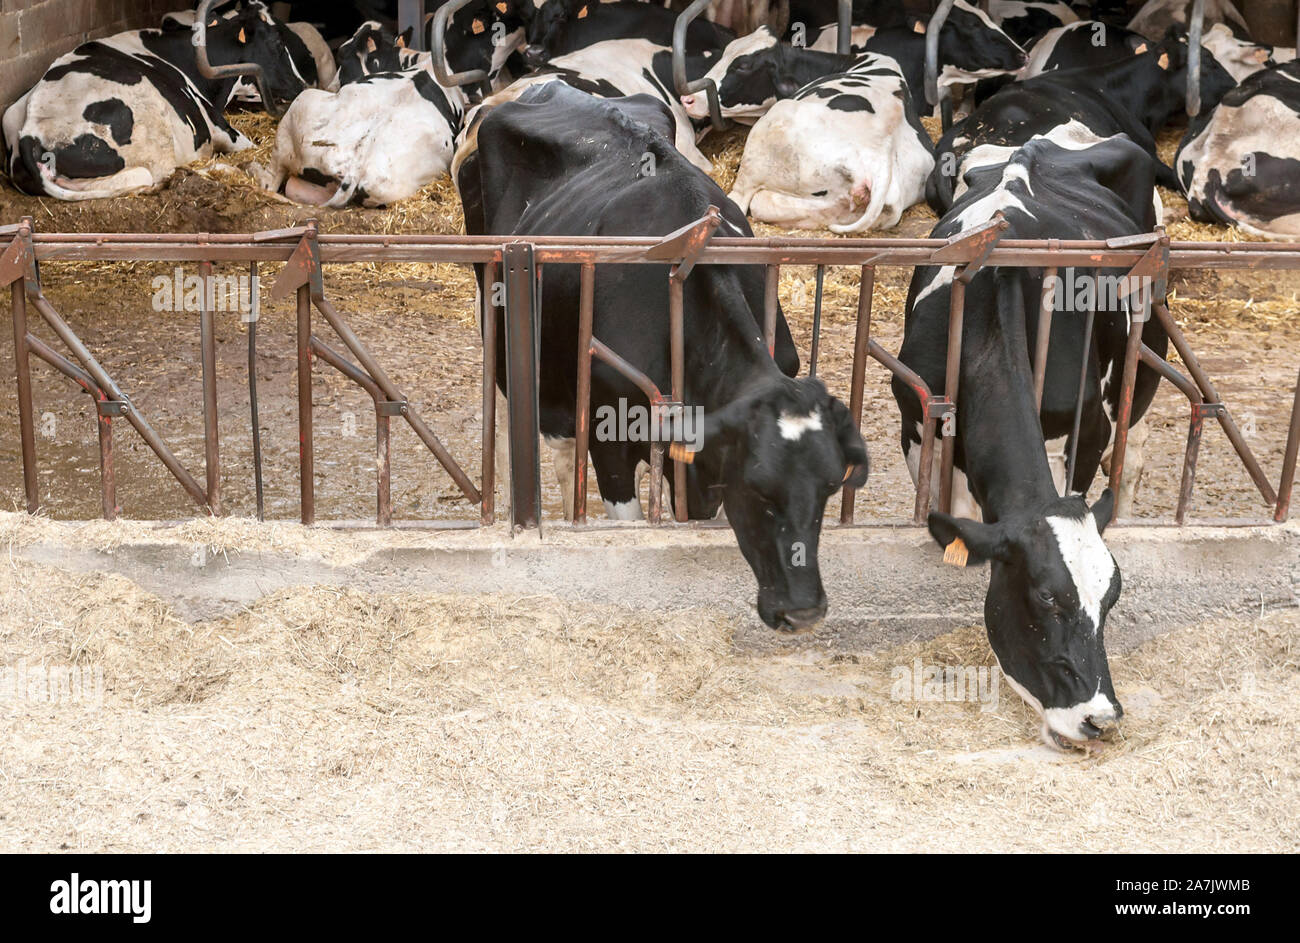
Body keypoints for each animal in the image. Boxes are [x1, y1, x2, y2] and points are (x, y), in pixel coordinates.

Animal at [3, 2, 308, 200]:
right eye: (278, 43)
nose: (303, 85)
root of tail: (31, 132)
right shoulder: (221, 127)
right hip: (153, 128)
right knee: (166, 172)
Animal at [456, 82, 869, 632]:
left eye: (829, 486)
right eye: (758, 489)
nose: (803, 612)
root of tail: (544, 85)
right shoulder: (609, 437)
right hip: (497, 305)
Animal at [895, 131, 1170, 750]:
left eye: (1111, 597)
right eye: (1047, 596)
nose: (1100, 718)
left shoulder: (1087, 429)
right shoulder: (919, 427)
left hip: (1141, 368)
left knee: (1134, 451)